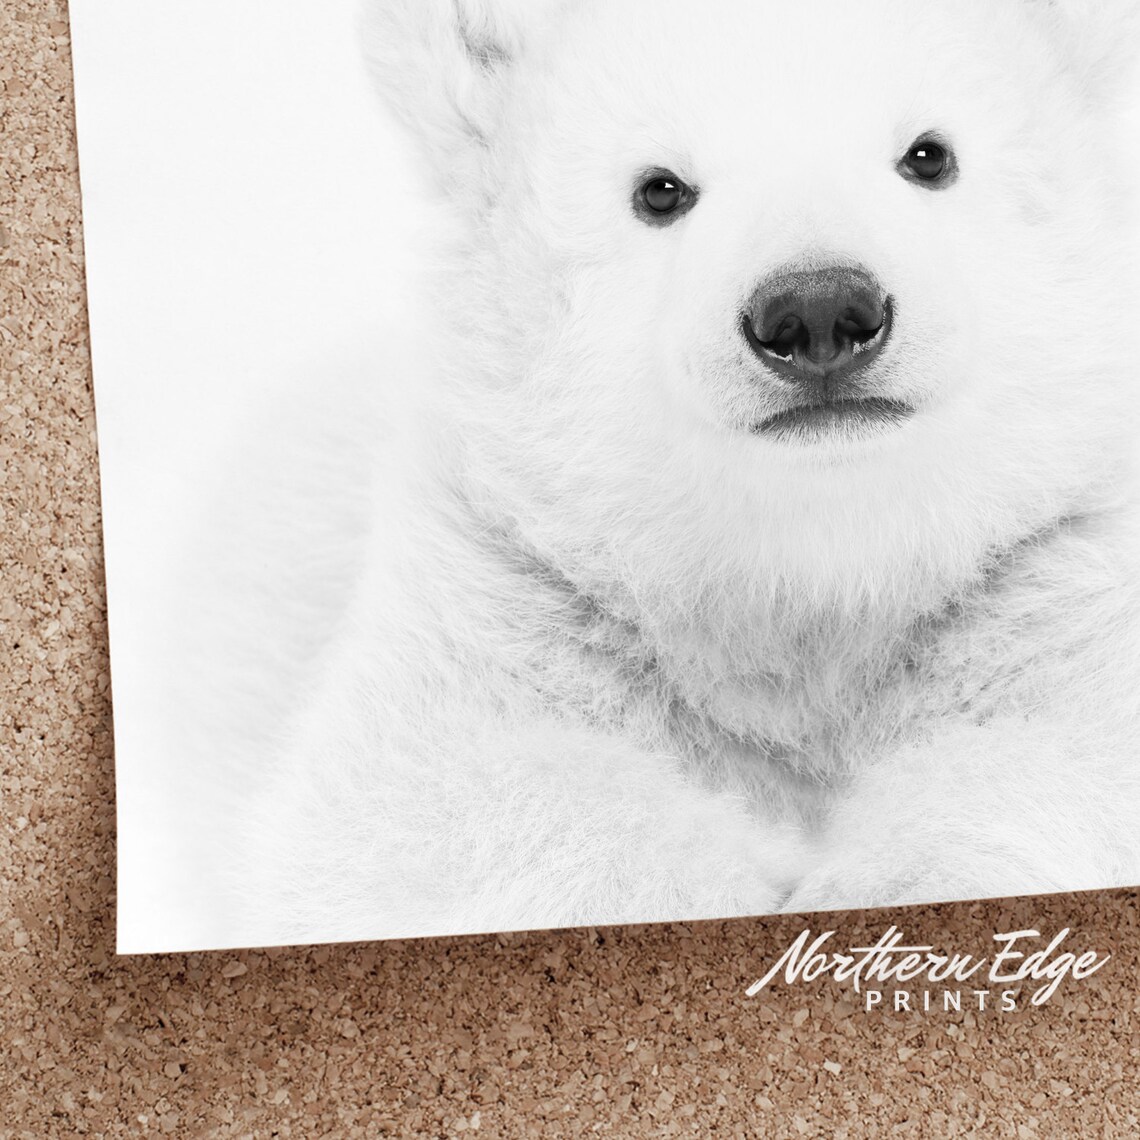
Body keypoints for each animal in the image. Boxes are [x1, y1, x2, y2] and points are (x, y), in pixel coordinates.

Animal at [208, 0, 1140, 948]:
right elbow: (412, 812)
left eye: (929, 154)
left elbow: (1065, 749)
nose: (817, 313)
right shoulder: (505, 591)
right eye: (659, 189)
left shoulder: (1046, 579)